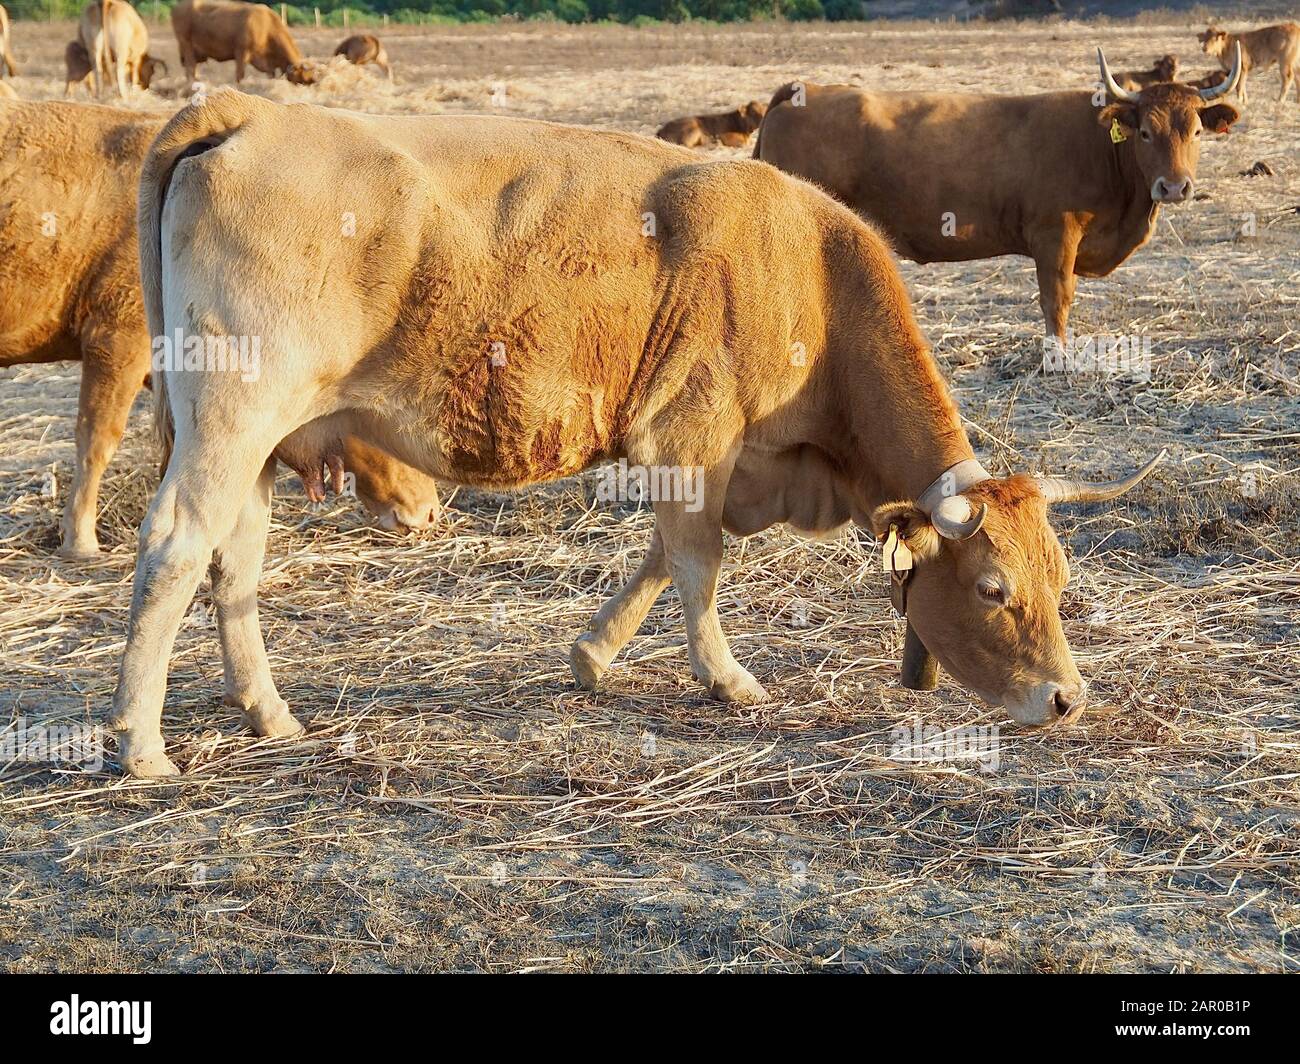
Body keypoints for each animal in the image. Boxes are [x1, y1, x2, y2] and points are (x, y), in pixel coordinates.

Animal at [106, 89, 1163, 777]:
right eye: (993, 589)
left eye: (1061, 580)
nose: (1067, 699)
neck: (808, 274)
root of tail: (249, 112)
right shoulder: (693, 437)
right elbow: (697, 564)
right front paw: (727, 677)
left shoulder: (715, 463)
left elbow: (662, 558)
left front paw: (592, 654)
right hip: (231, 420)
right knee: (175, 546)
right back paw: (139, 742)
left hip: (258, 445)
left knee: (233, 562)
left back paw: (269, 714)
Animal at [172, 0, 317, 85]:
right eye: (303, 74)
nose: (313, 80)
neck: (266, 26)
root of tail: (178, 6)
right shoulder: (242, 53)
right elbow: (240, 75)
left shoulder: (267, 63)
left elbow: (270, 75)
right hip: (187, 46)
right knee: (190, 69)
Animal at [753, 47, 1243, 343]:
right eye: (1144, 132)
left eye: (1197, 131)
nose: (1174, 186)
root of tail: (805, 90)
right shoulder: (1055, 236)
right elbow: (1057, 299)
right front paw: (1058, 358)